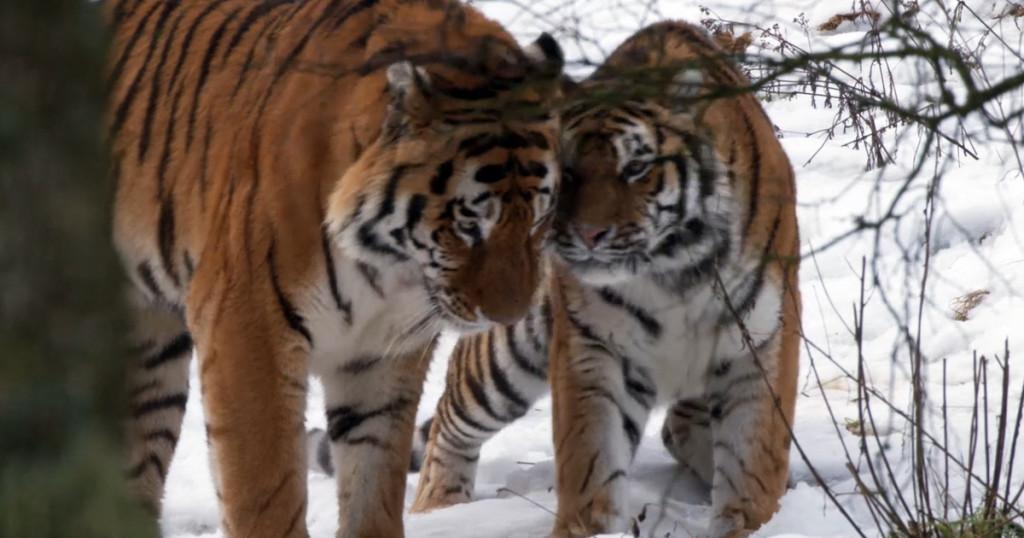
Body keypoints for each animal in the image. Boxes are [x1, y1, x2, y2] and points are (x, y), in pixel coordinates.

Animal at [106, 0, 565, 536]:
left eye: (538, 219)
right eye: (468, 223)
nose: (509, 317)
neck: (388, 270)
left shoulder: (381, 353)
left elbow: (373, 482)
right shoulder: (247, 328)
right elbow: (264, 491)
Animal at [404, 20, 800, 538]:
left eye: (635, 168)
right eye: (568, 172)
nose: (589, 234)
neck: (674, 266)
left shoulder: (761, 342)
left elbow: (753, 460)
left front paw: (753, 523)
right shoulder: (595, 347)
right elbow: (593, 457)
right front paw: (592, 527)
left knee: (680, 426)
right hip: (513, 342)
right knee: (453, 409)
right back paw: (439, 508)